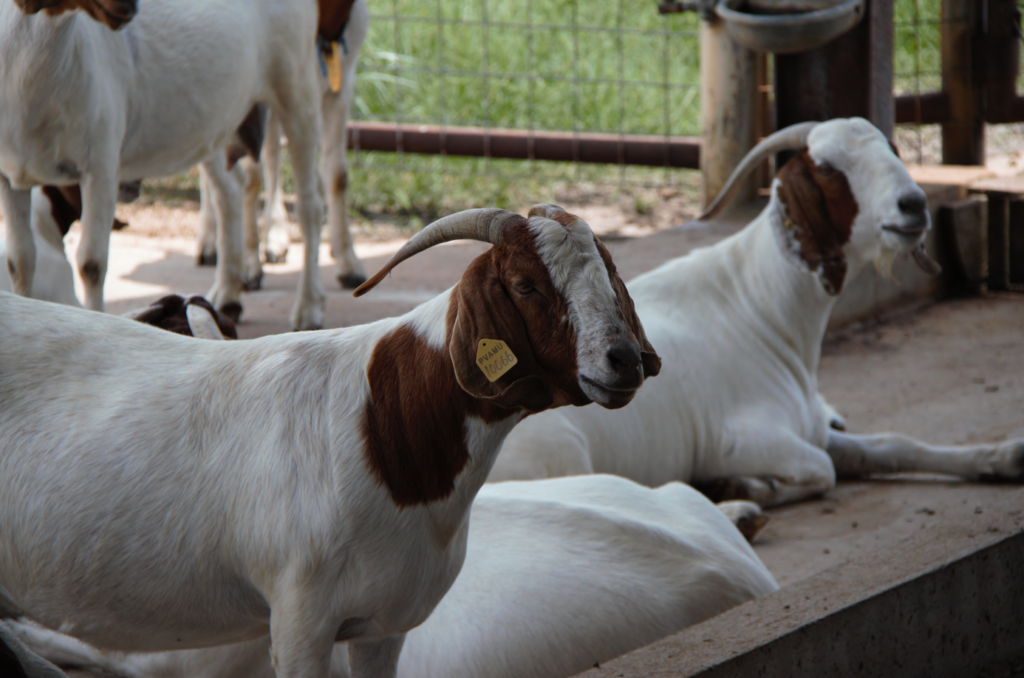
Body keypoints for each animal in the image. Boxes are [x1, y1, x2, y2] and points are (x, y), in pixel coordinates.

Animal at [0, 0, 328, 329]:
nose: (130, 7)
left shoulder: (101, 164)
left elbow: (91, 263)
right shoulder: (8, 175)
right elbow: (20, 260)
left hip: (297, 85)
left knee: (309, 206)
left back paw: (309, 307)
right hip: (211, 124)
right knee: (230, 190)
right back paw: (227, 296)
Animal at [0, 206, 659, 678]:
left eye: (609, 275)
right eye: (525, 284)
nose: (624, 361)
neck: (388, 426)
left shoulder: (384, 626)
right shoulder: (300, 623)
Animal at [195, 0, 370, 292]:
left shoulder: (340, 85)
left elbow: (337, 176)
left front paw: (350, 265)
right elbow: (250, 179)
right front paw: (250, 269)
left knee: (272, 152)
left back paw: (277, 238)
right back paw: (209, 243)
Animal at [489, 118, 1024, 508]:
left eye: (891, 149)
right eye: (826, 167)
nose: (913, 205)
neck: (756, 306)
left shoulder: (813, 429)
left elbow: (896, 445)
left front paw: (1003, 458)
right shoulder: (742, 439)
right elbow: (823, 470)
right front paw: (744, 486)